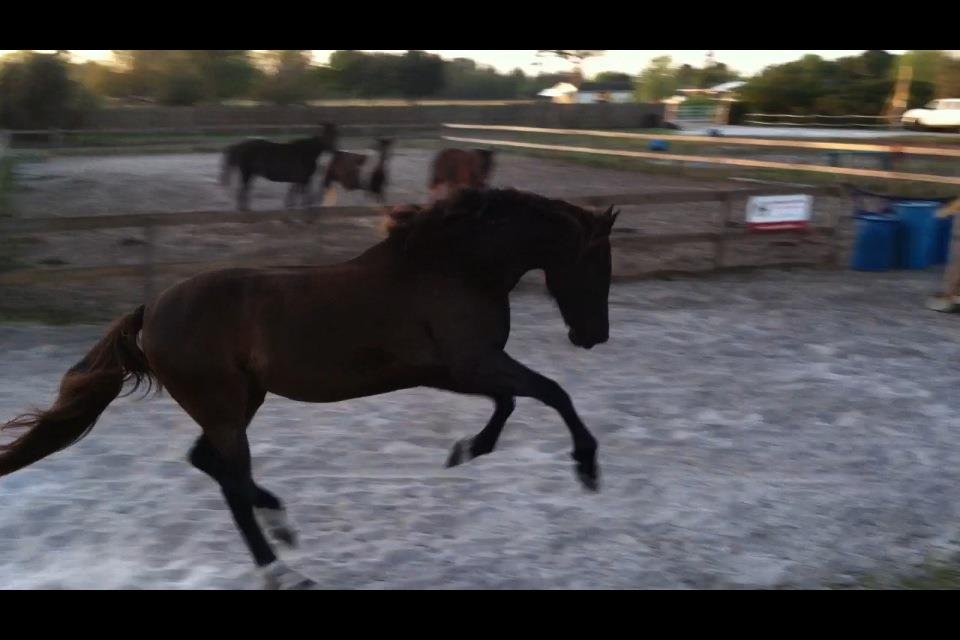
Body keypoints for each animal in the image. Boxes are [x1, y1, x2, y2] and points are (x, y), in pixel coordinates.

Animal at [0, 188, 619, 590]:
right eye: (598, 265)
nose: (594, 336)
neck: (451, 269)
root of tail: (151, 309)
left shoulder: (457, 371)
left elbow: (513, 400)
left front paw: (466, 450)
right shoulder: (472, 364)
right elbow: (551, 392)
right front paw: (587, 468)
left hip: (240, 403)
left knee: (211, 463)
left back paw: (279, 522)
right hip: (225, 408)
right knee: (230, 482)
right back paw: (281, 564)